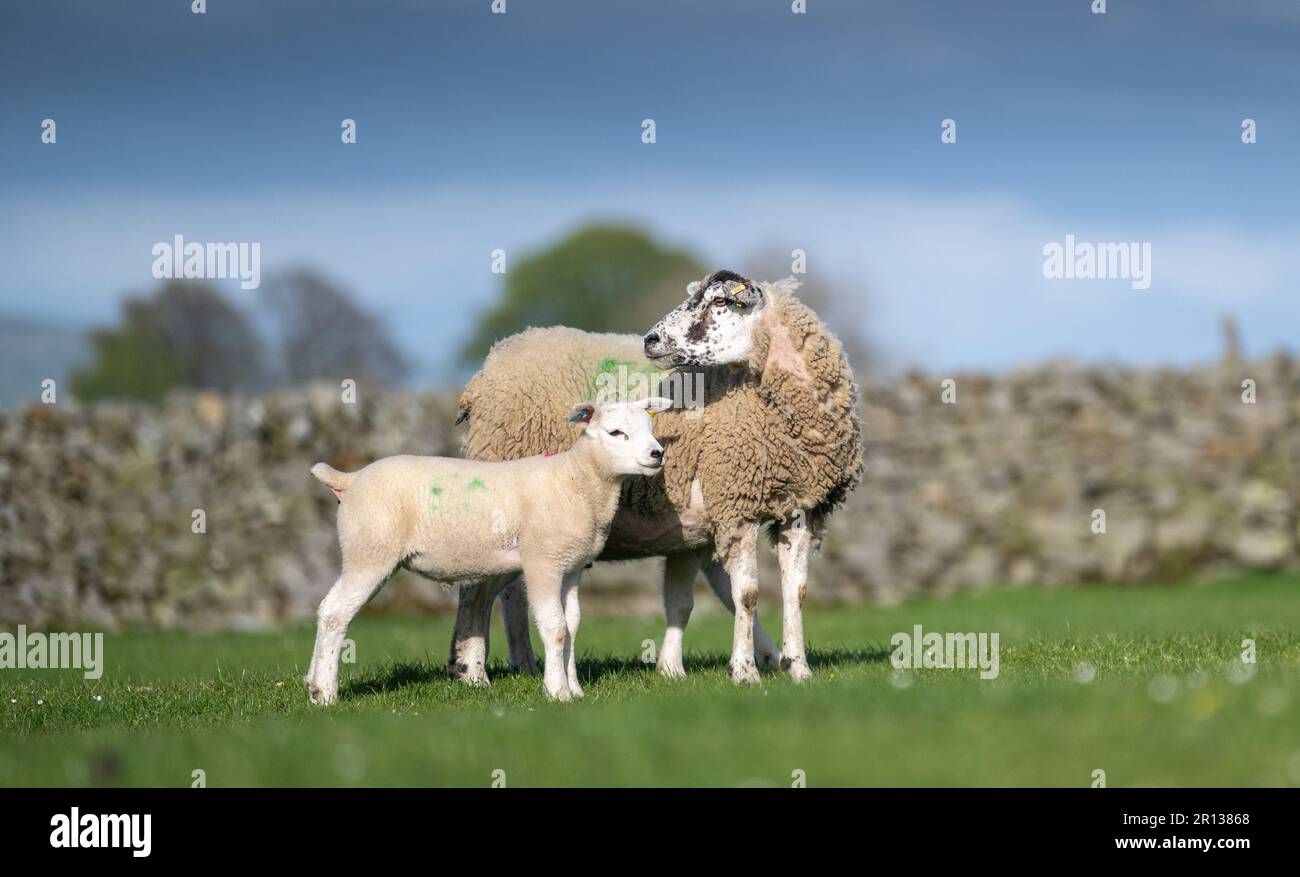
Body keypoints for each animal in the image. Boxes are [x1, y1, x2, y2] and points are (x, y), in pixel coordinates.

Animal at [304, 396, 672, 704]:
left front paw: (576, 689)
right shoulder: (542, 560)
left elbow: (573, 626)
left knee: (328, 610)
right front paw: (557, 693)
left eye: (651, 428)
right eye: (616, 432)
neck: (576, 480)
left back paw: (311, 682)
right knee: (334, 612)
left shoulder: (572, 567)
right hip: (369, 550)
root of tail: (349, 480)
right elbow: (555, 628)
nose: (658, 454)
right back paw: (325, 693)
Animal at [453, 270, 863, 686]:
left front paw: (799, 669)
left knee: (510, 591)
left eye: (720, 301)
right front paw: (745, 672)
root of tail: (491, 364)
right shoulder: (735, 502)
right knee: (475, 586)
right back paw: (472, 671)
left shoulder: (800, 508)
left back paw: (521, 663)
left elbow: (795, 591)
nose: (650, 340)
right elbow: (746, 595)